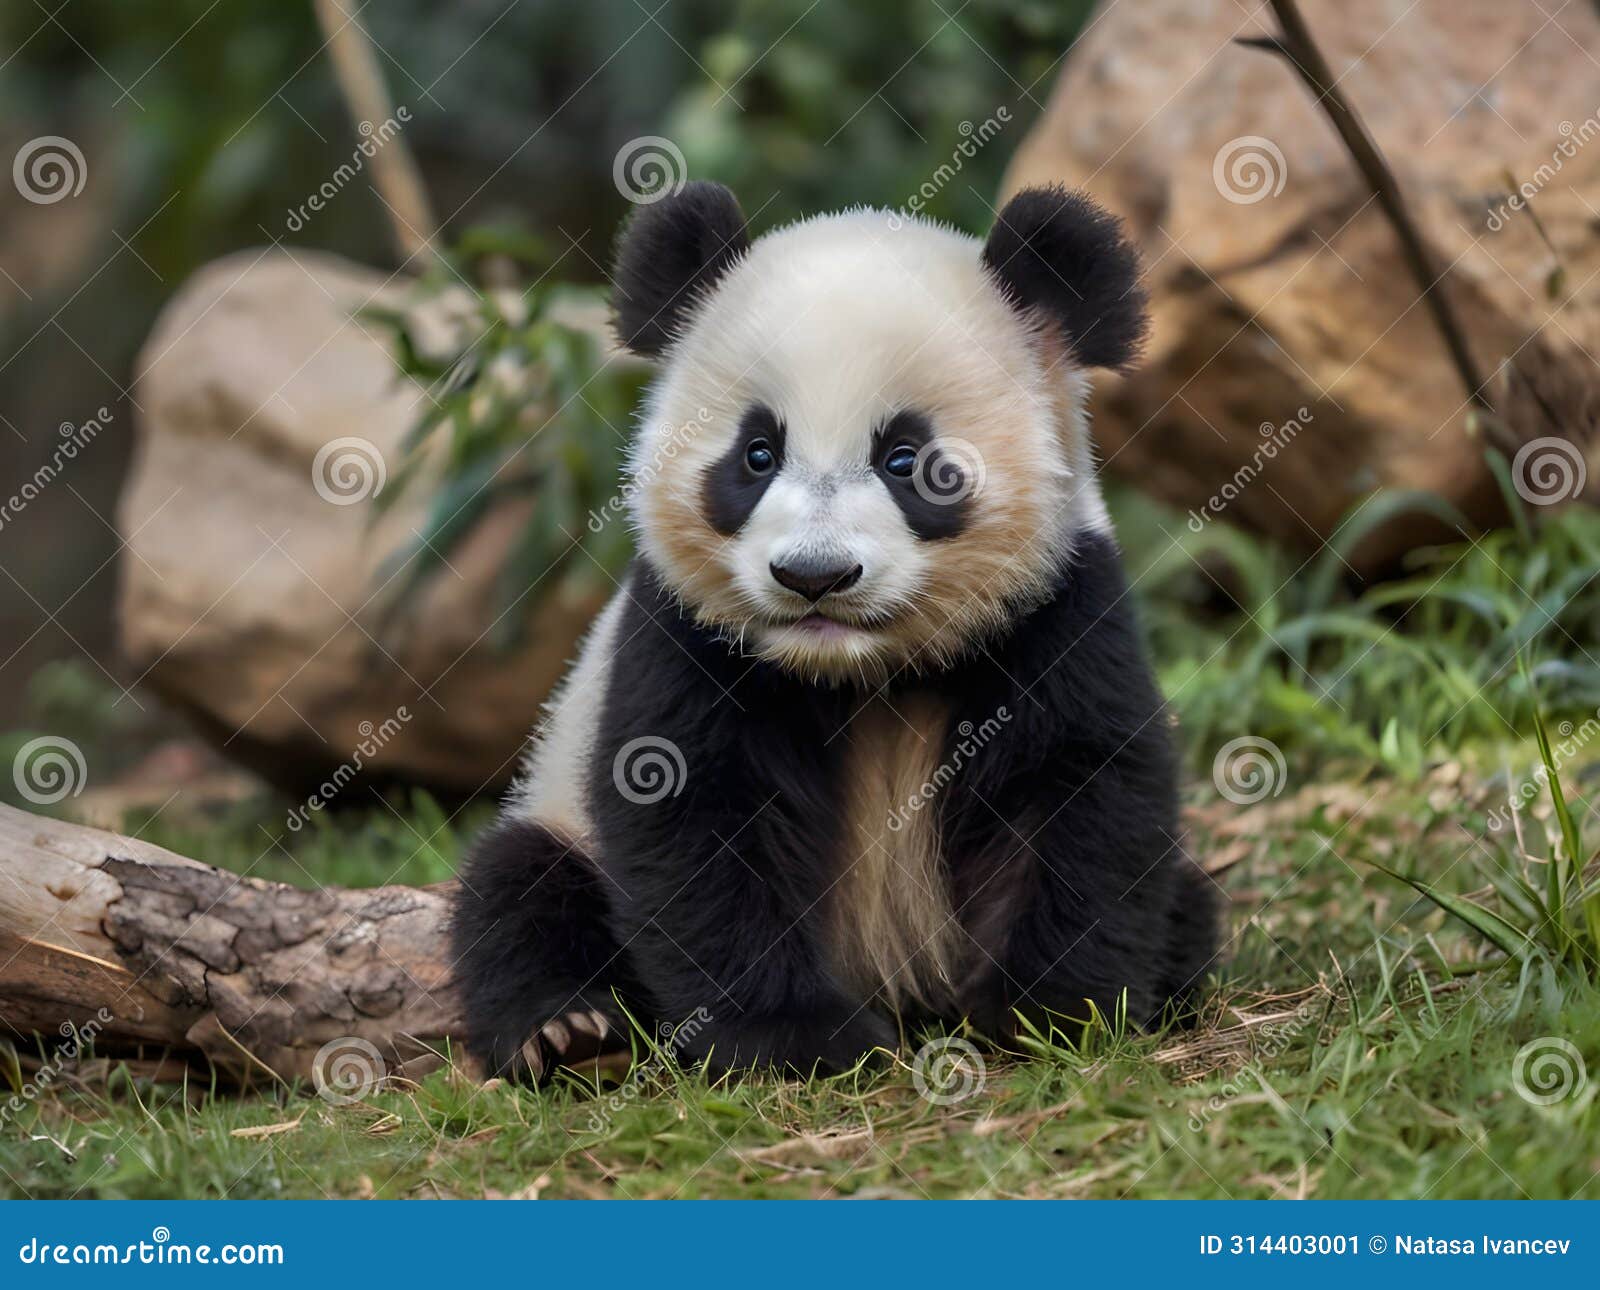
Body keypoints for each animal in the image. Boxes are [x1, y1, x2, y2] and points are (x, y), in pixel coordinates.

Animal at [451, 181, 1221, 1081]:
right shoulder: (680, 630)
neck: (861, 670)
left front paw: (1046, 1011)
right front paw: (792, 1037)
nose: (813, 576)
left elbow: (1081, 790)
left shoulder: (1061, 607)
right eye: (756, 454)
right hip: (558, 805)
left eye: (908, 460)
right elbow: (695, 813)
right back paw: (570, 1031)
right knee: (518, 884)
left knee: (1187, 899)